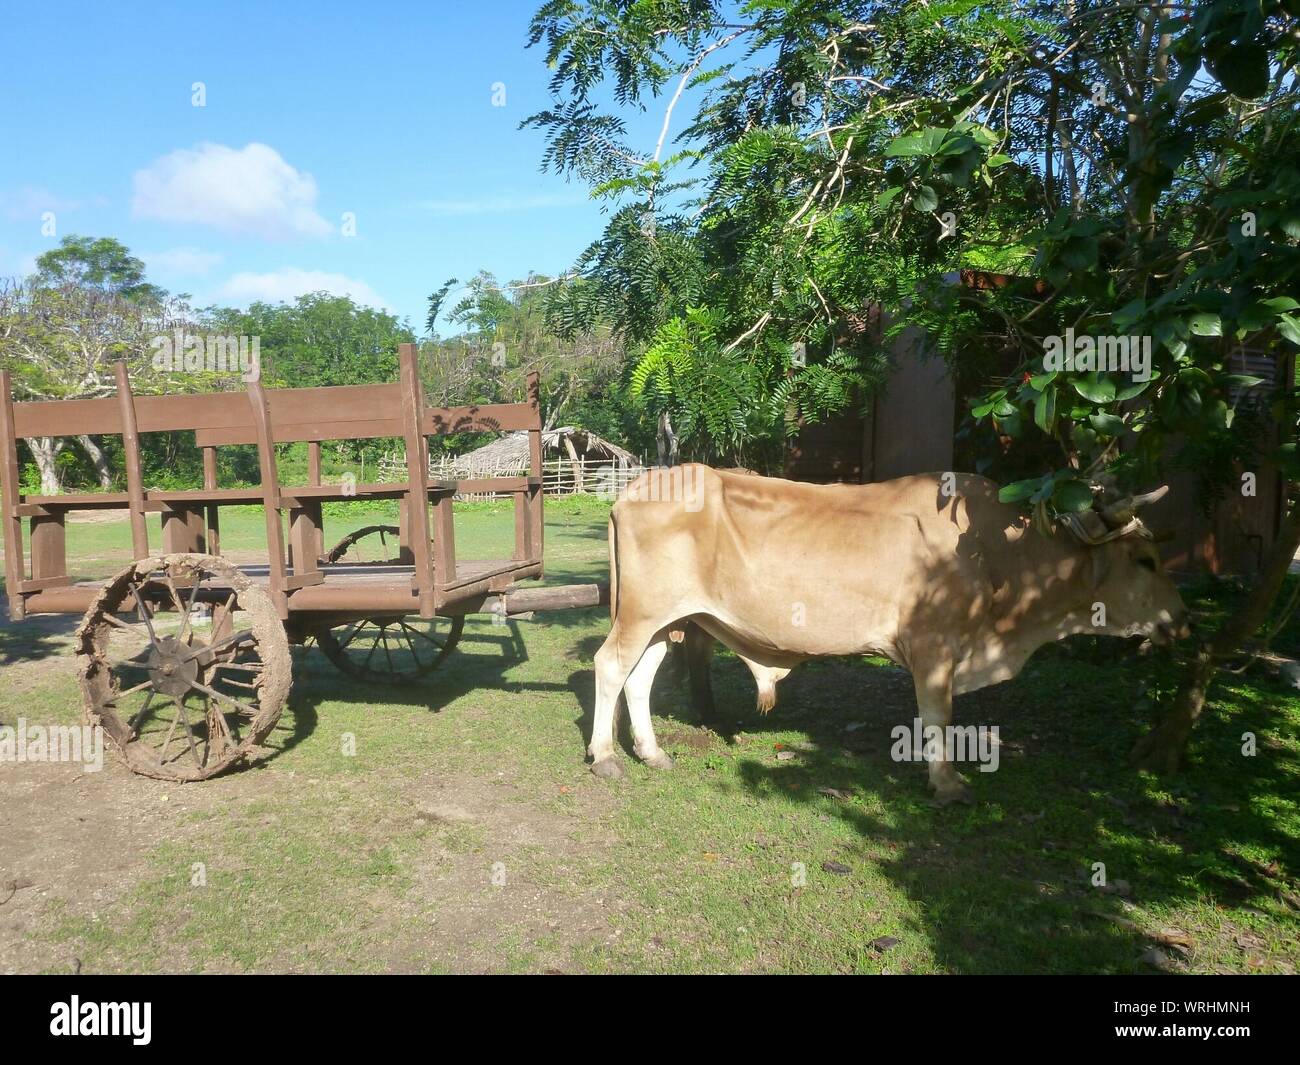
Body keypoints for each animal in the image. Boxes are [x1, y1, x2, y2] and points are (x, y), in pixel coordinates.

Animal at [588, 465, 1189, 803]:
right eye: (1145, 559)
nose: (1183, 620)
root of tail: (633, 490)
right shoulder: (934, 647)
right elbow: (939, 715)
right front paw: (947, 785)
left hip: (669, 621)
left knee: (640, 678)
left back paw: (651, 752)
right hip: (642, 614)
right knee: (611, 666)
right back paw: (606, 756)